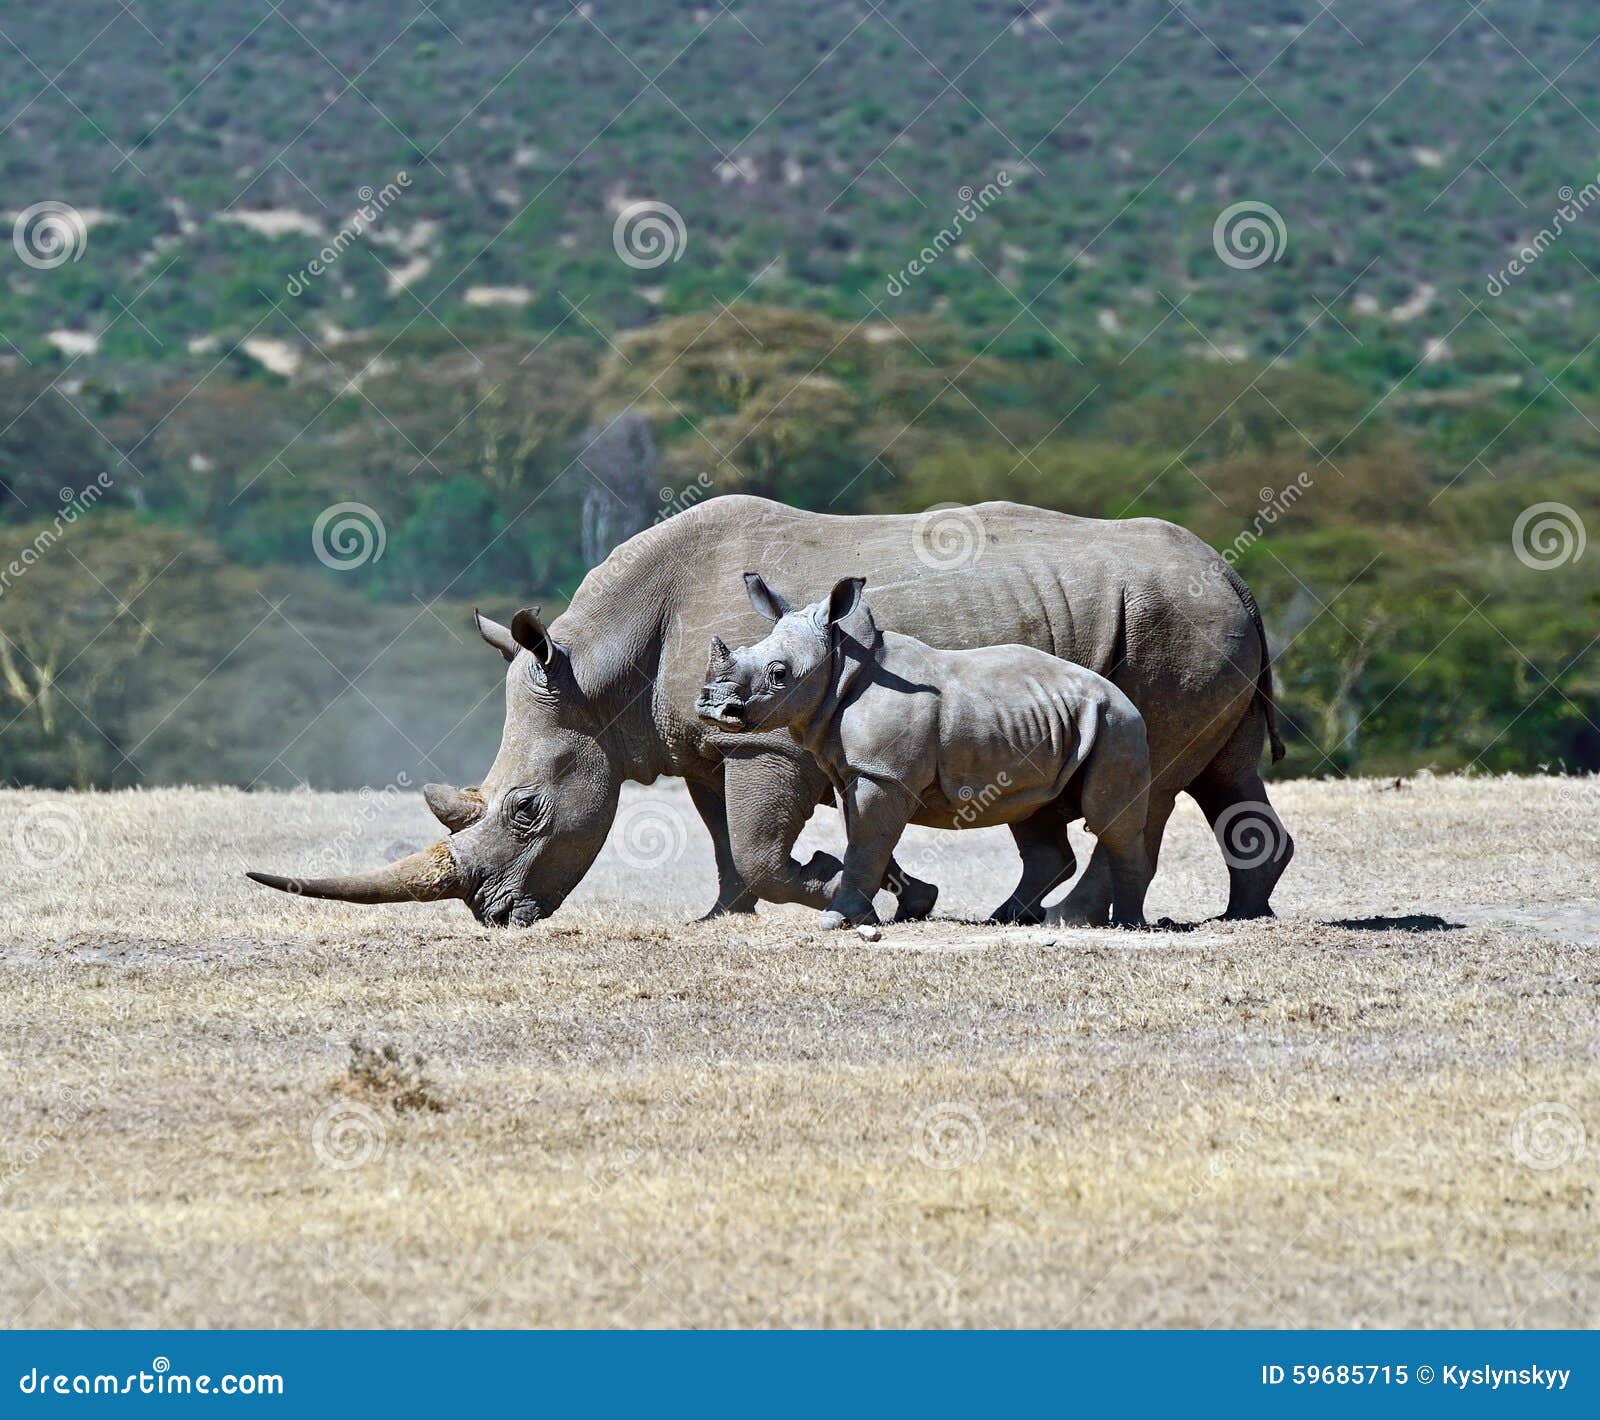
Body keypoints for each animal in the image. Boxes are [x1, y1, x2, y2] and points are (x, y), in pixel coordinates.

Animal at [696, 574, 1153, 929]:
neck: (840, 667)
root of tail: (1121, 696)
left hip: (1116, 723)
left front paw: (836, 919)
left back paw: (1128, 925)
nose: (712, 706)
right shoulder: (858, 770)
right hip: (1056, 722)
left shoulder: (883, 773)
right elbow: (864, 838)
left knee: (1109, 818)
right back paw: (1008, 917)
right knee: (1034, 809)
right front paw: (864, 913)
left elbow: (867, 842)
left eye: (779, 675)